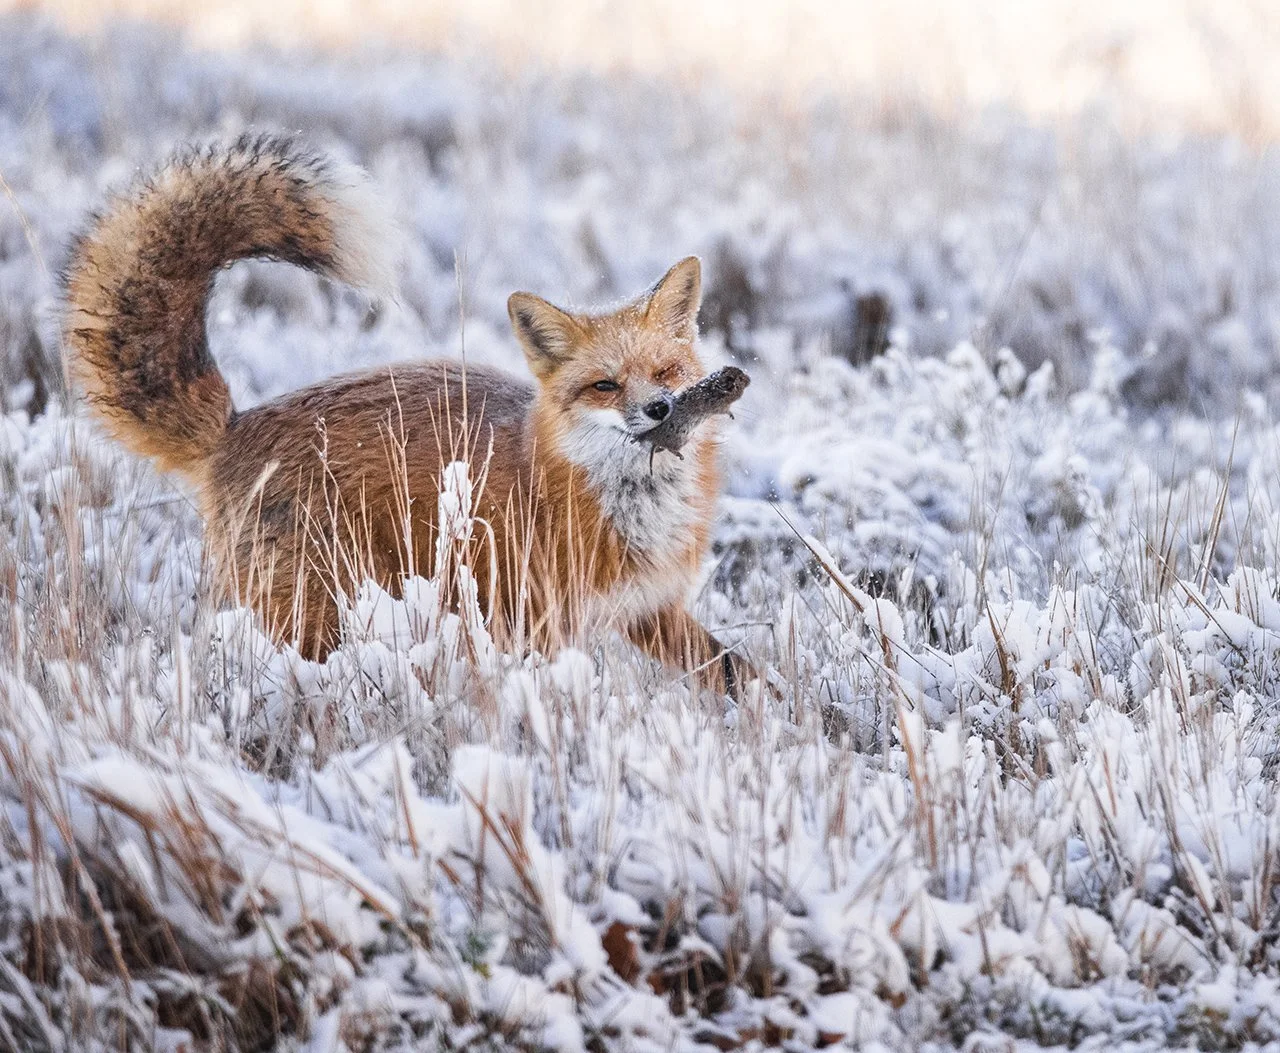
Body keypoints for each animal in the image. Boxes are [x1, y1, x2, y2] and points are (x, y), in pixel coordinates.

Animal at [63, 135, 756, 695]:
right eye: (605, 386)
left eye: (666, 373)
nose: (659, 410)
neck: (629, 505)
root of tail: (235, 426)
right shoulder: (533, 618)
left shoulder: (649, 609)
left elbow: (737, 671)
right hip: (315, 610)